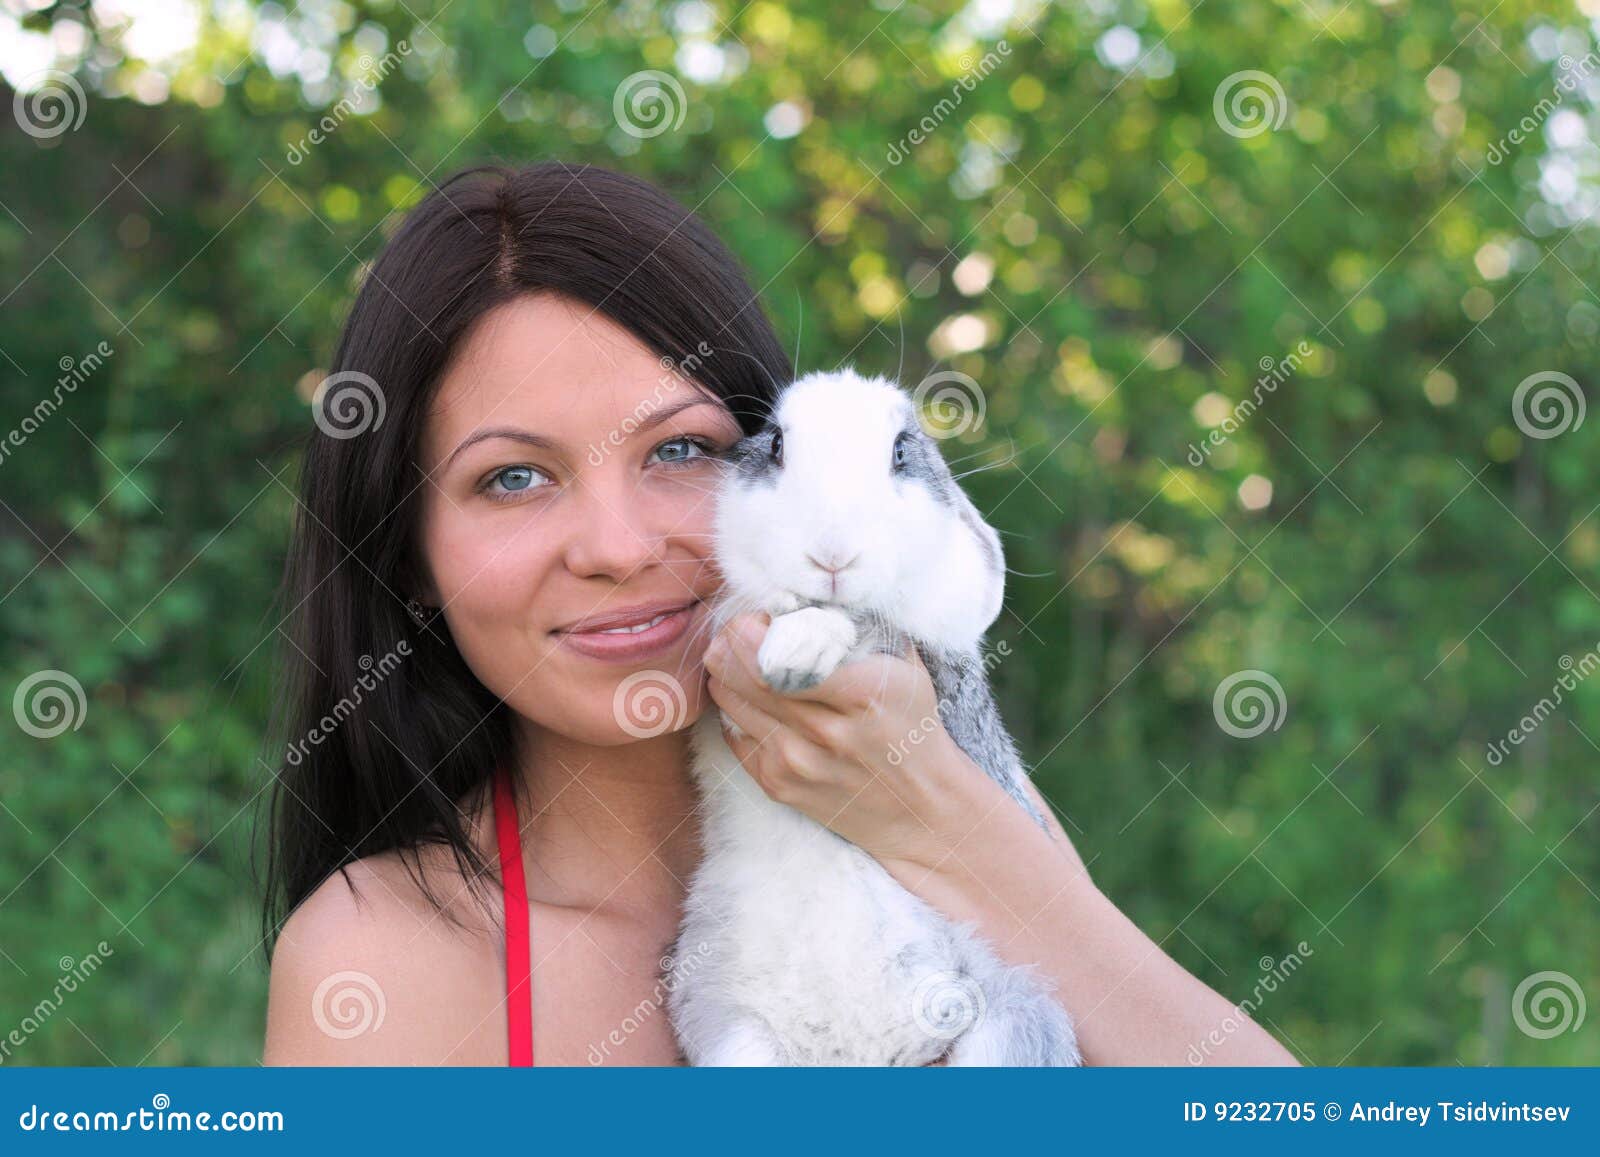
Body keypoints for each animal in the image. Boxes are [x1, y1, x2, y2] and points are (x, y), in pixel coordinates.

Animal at [665, 368, 1081, 1066]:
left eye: (901, 453)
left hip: (1012, 1022)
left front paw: (795, 653)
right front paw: (792, 644)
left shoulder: (931, 667)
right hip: (731, 1029)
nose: (832, 556)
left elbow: (857, 625)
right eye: (775, 444)